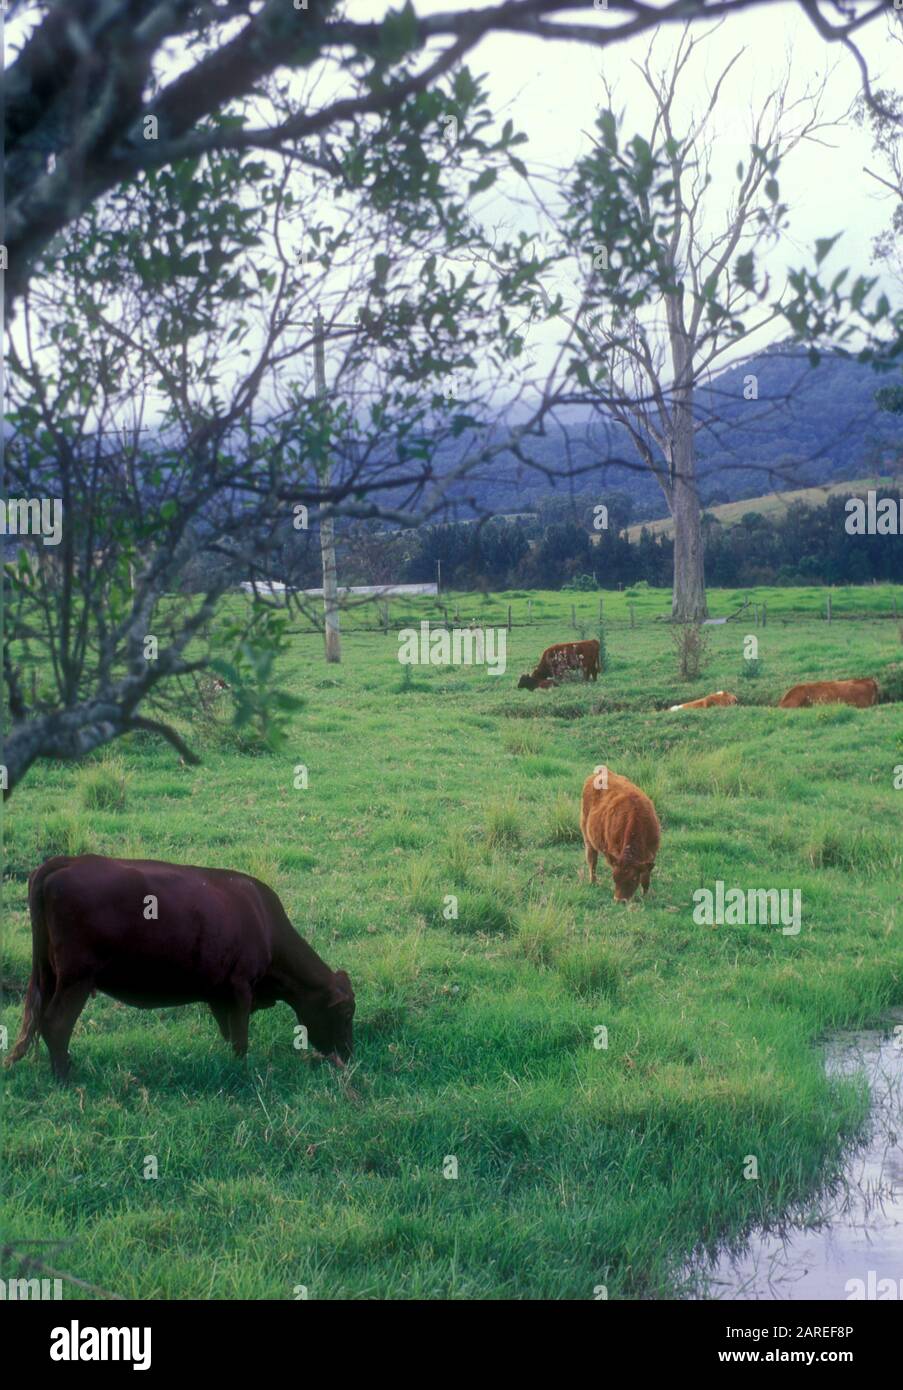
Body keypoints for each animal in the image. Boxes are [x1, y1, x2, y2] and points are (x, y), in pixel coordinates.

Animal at [5, 855, 355, 1083]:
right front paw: (241, 1071)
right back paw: (65, 1077)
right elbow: (240, 1039)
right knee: (56, 1023)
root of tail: (65, 861)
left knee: (43, 1020)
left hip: (51, 975)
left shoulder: (220, 995)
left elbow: (229, 1034)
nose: (348, 1054)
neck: (265, 923)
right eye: (345, 1011)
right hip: (76, 978)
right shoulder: (241, 987)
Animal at [580, 767, 661, 903]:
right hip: (587, 836)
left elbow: (646, 878)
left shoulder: (651, 854)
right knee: (592, 859)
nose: (619, 900)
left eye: (634, 878)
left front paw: (645, 896)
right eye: (614, 878)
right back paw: (593, 882)